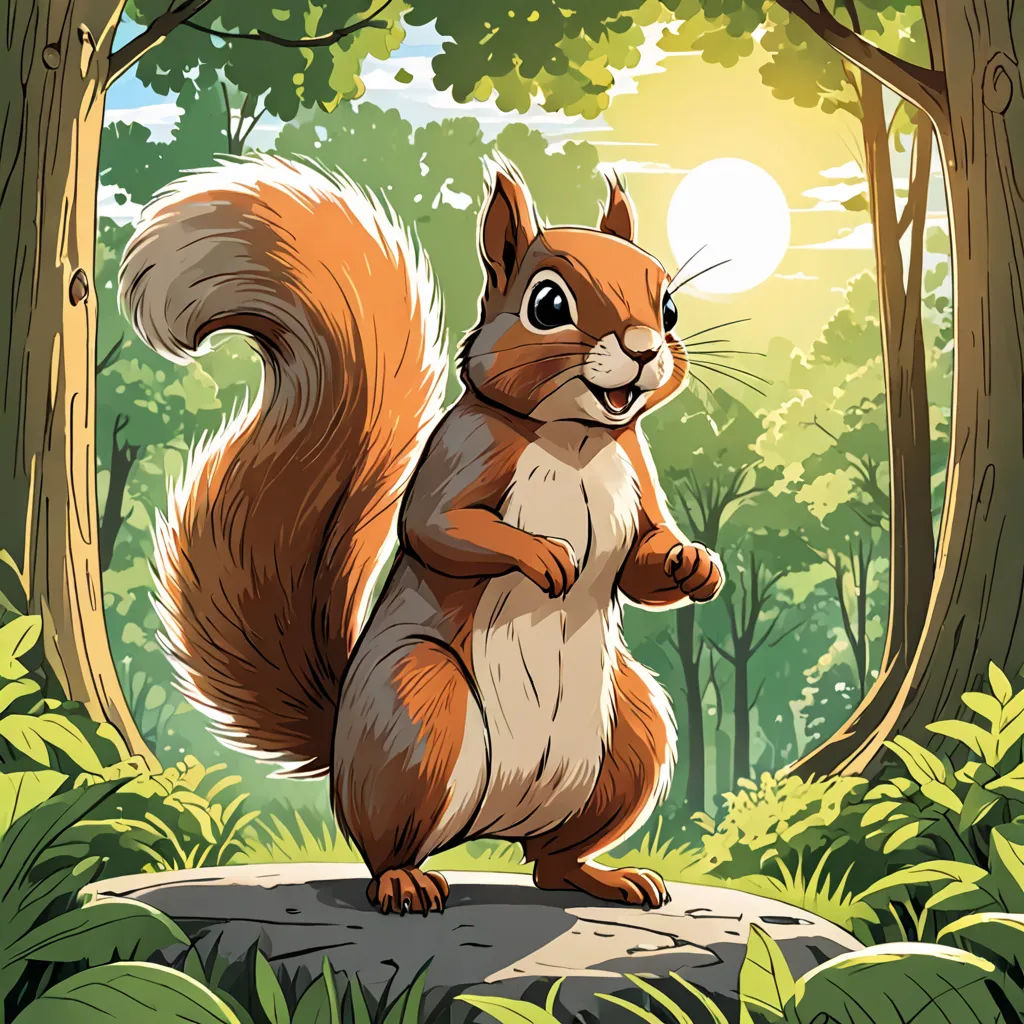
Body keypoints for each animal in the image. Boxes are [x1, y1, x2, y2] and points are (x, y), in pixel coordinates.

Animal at [120, 154, 725, 914]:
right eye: (548, 306)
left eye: (668, 306)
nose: (645, 350)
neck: (577, 440)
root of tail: (492, 823)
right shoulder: (460, 458)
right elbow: (439, 529)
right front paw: (544, 558)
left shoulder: (636, 478)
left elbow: (643, 560)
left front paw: (694, 565)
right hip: (416, 708)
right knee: (386, 844)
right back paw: (405, 883)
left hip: (631, 731)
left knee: (551, 861)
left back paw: (607, 877)